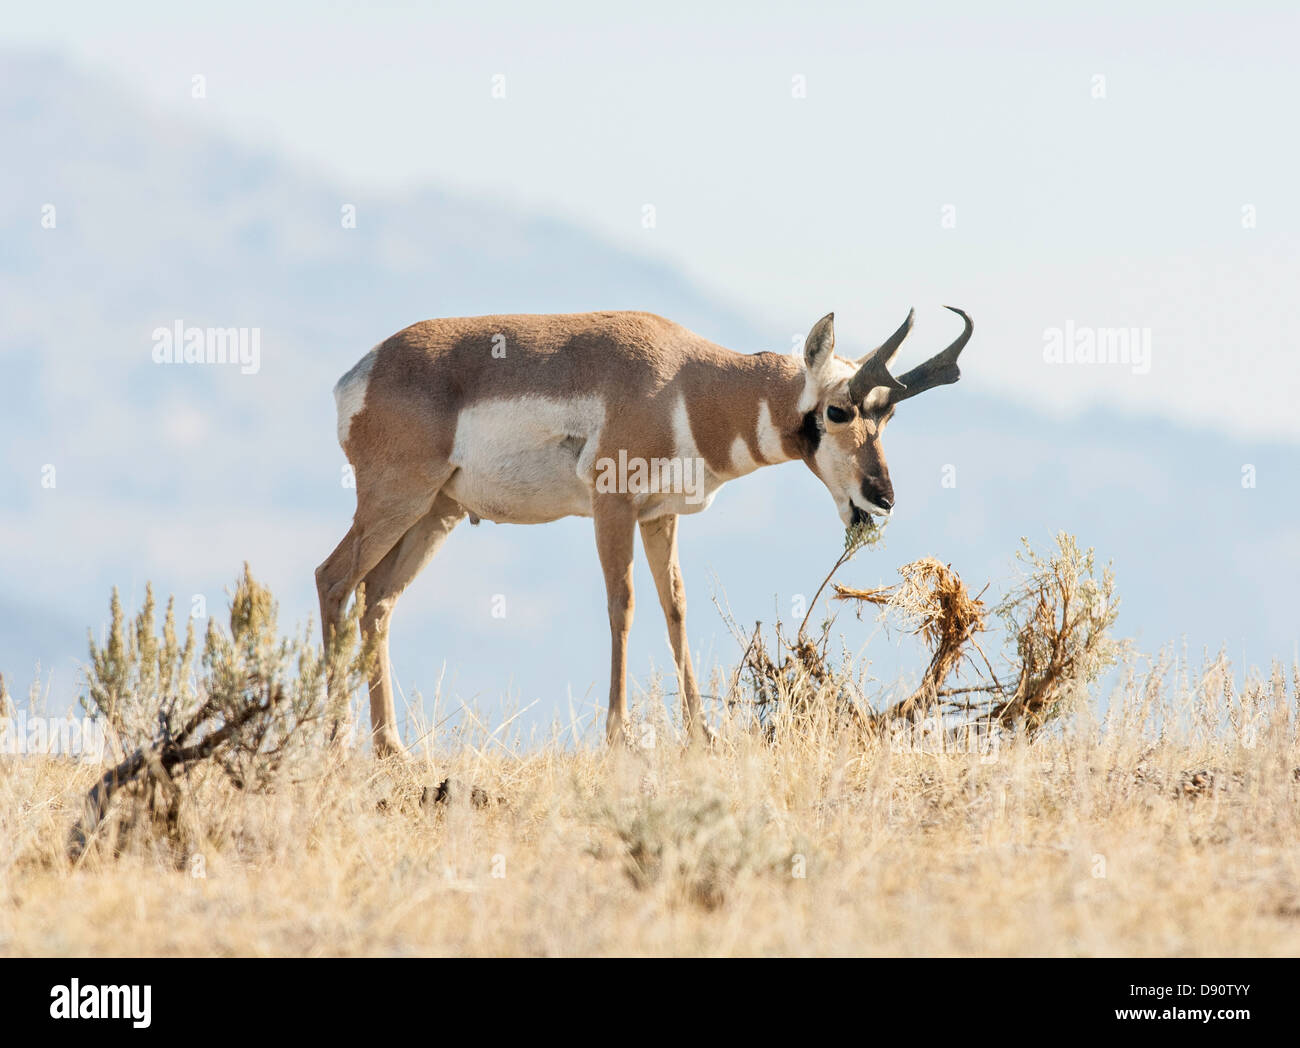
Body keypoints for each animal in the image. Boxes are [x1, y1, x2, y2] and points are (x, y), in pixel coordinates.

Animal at [316, 306, 973, 755]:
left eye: (887, 414)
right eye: (838, 411)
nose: (882, 499)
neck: (685, 382)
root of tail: (363, 372)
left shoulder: (659, 517)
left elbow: (675, 606)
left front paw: (702, 734)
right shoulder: (614, 508)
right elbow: (623, 604)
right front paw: (619, 737)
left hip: (435, 514)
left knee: (378, 600)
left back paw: (393, 750)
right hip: (395, 503)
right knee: (333, 580)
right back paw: (333, 742)